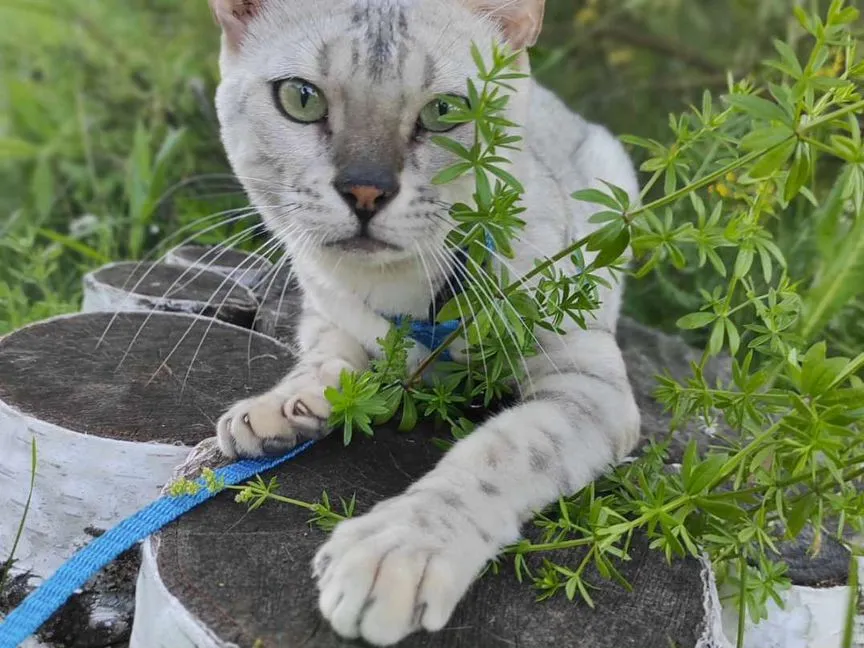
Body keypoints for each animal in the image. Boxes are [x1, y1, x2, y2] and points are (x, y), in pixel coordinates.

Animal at [208, 2, 640, 644]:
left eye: (445, 111)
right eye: (301, 98)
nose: (365, 189)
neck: (404, 294)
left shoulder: (591, 386)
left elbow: (499, 453)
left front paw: (398, 550)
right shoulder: (324, 306)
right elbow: (328, 356)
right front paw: (281, 407)